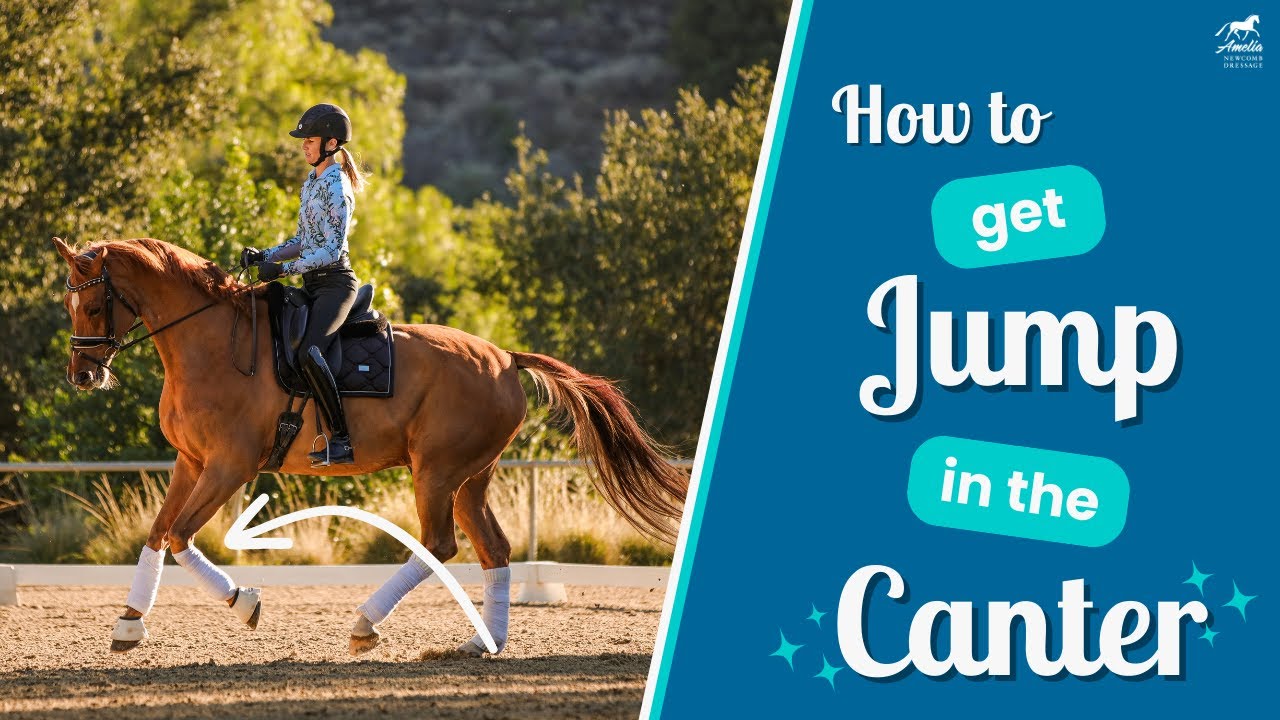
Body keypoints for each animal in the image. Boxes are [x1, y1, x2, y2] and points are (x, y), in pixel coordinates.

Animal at [51, 236, 687, 655]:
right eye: (69, 303)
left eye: (94, 303)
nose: (83, 375)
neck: (208, 342)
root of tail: (506, 358)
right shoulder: (191, 462)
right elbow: (157, 535)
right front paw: (129, 623)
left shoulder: (229, 466)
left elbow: (182, 537)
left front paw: (246, 602)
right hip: (470, 478)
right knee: (494, 548)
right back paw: (483, 642)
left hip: (436, 473)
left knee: (439, 544)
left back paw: (365, 624)